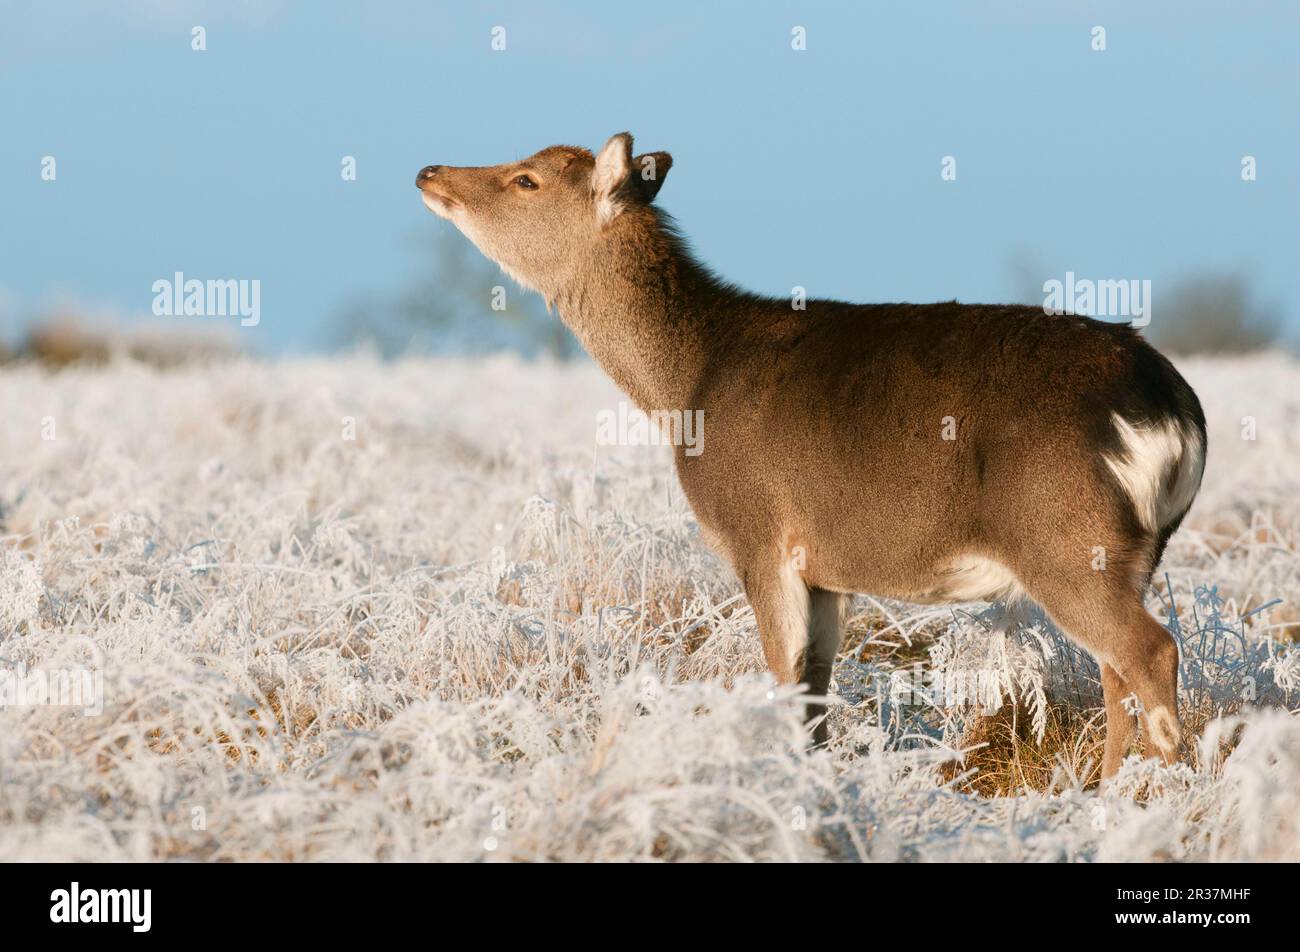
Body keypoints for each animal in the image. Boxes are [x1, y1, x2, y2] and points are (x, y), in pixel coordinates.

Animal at [415, 132, 1206, 779]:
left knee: (1149, 653)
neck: (685, 390)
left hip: (1065, 538)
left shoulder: (758, 534)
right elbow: (815, 688)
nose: (429, 171)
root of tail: (1175, 411)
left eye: (527, 179)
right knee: (1116, 669)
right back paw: (1104, 789)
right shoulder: (827, 567)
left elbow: (782, 674)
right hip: (1126, 552)